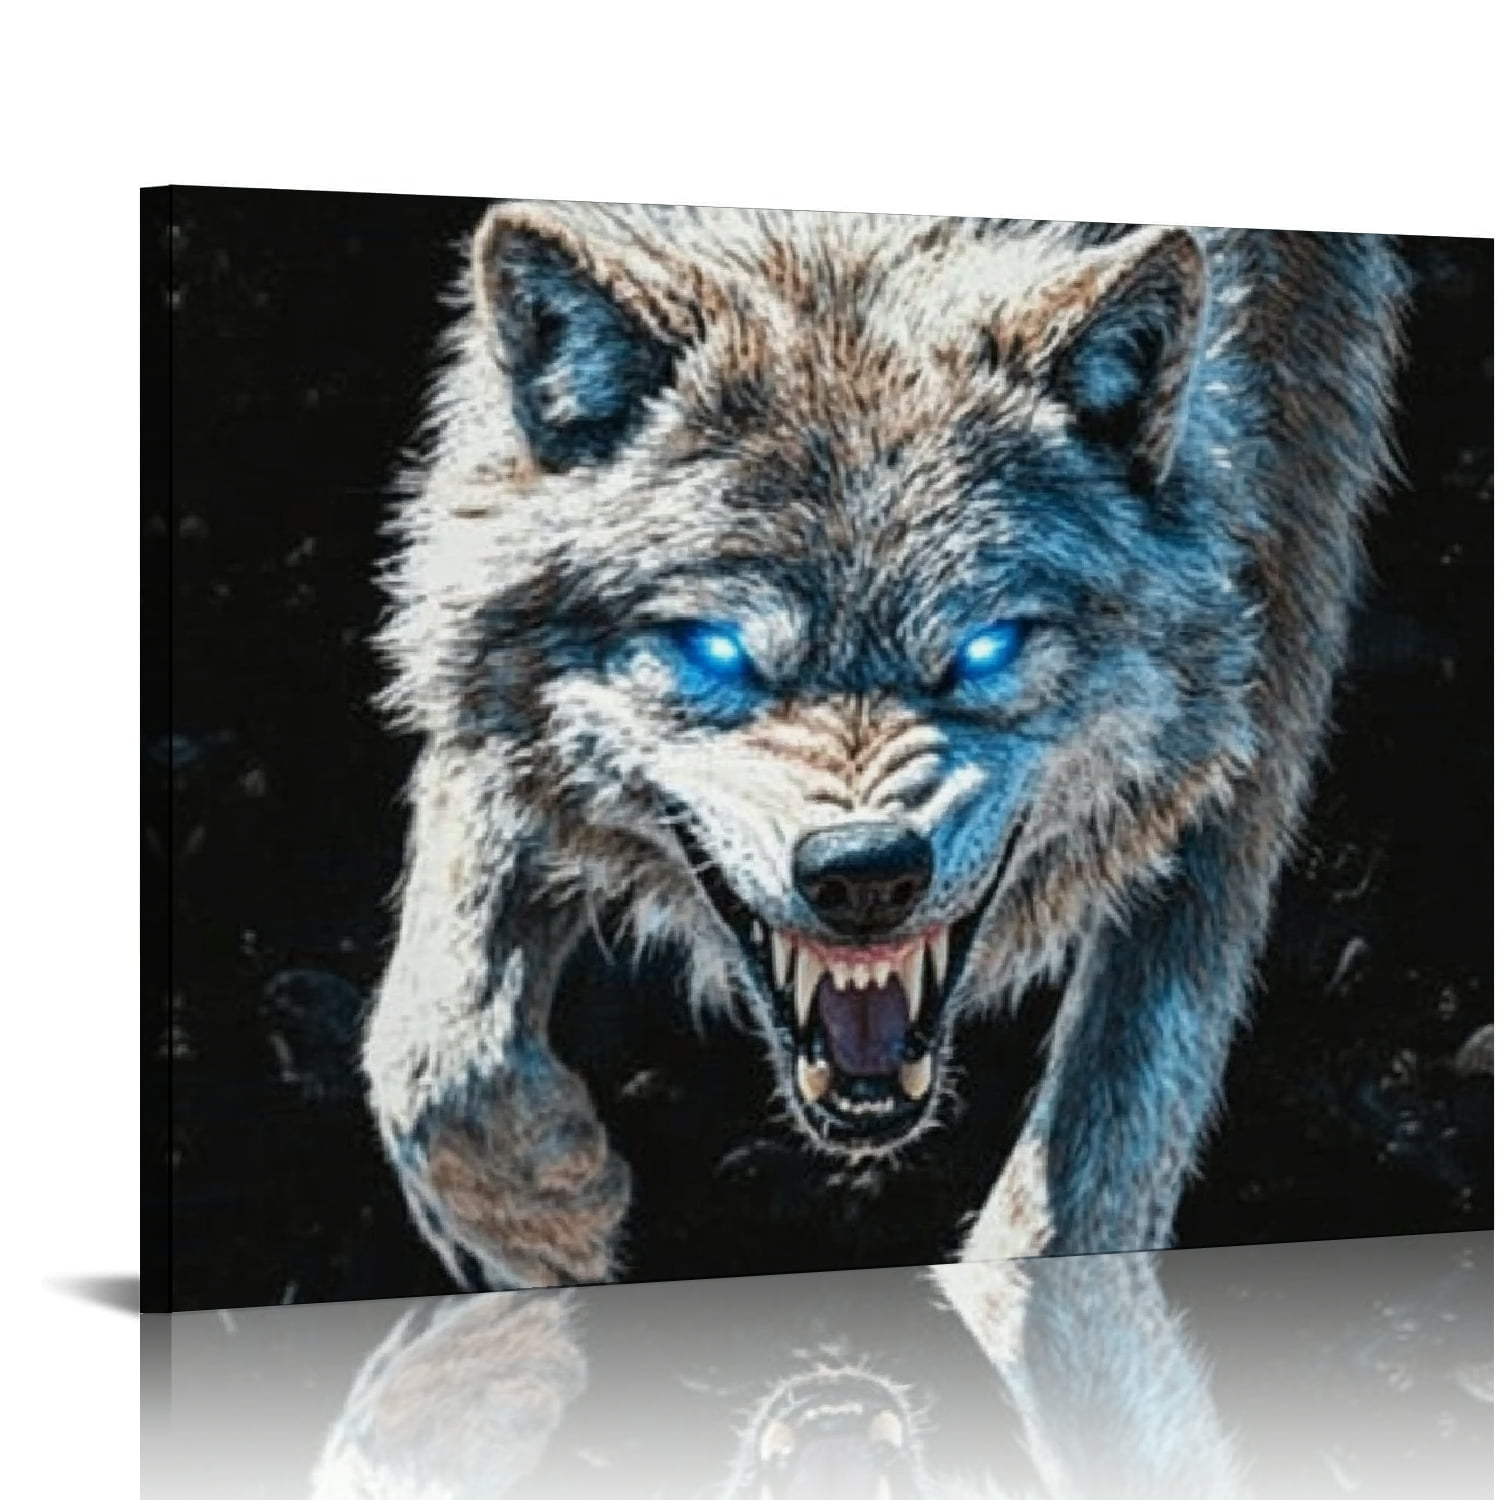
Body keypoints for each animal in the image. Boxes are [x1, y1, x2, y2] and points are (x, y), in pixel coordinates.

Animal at [363, 202, 1408, 1290]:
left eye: (986, 649)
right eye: (719, 650)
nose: (864, 873)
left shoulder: (1273, 627)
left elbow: (1115, 1120)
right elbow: (433, 1031)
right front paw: (538, 1213)